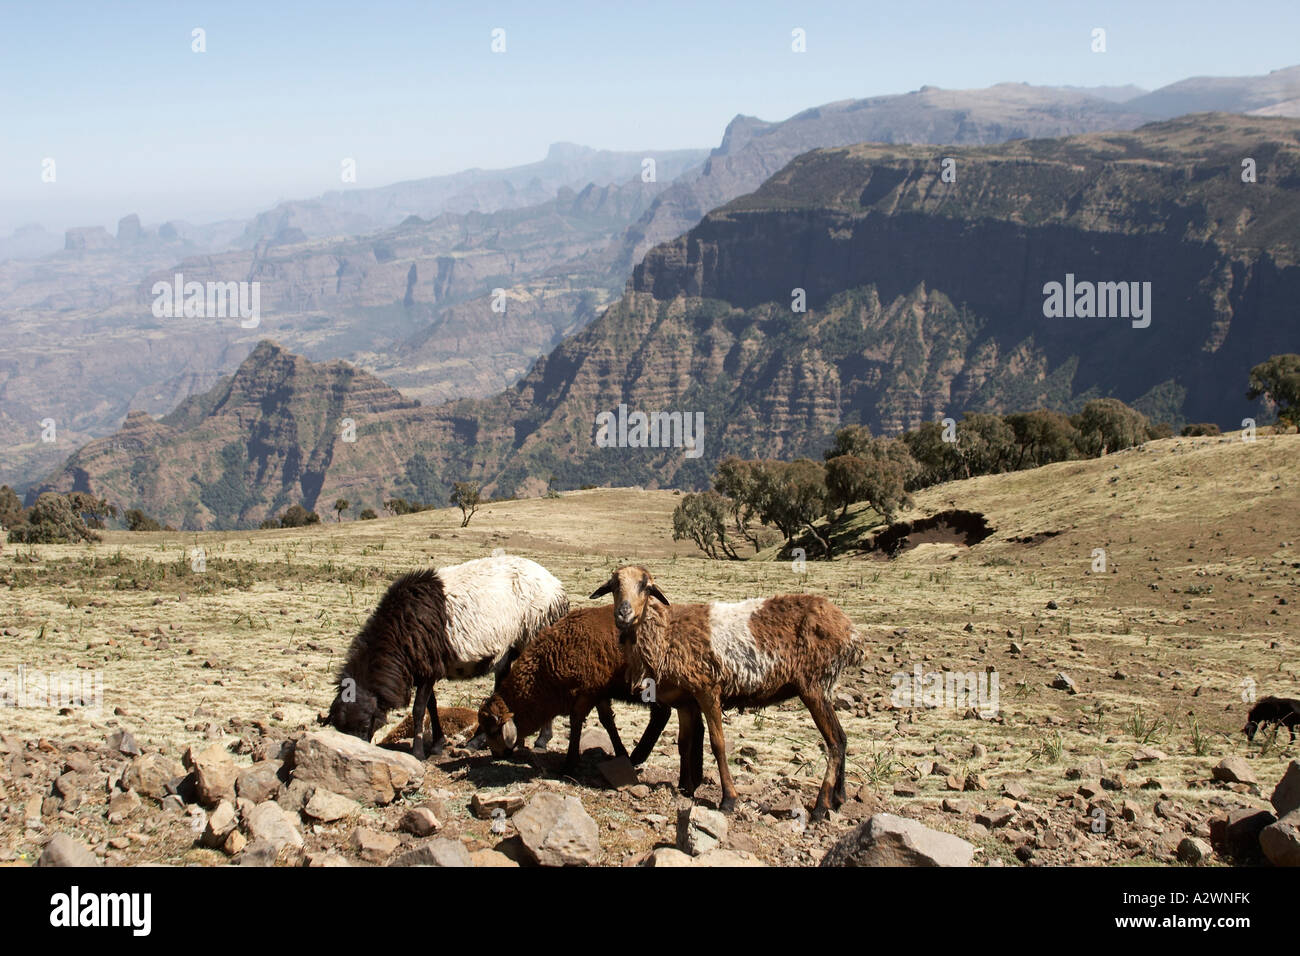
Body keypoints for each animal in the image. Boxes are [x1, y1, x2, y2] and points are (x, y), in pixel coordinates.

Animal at [322, 554, 569, 759]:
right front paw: (437, 745)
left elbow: (418, 709)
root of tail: (557, 587)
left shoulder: (428, 667)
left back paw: (540, 740)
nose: (352, 751)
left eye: (364, 726)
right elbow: (431, 706)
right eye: (340, 729)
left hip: (536, 633)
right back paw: (482, 742)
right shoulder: (426, 669)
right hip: (508, 651)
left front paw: (418, 752)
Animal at [476, 604, 672, 776]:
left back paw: (638, 755)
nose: (496, 754)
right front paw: (621, 753)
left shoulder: (586, 694)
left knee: (661, 715)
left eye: (493, 730)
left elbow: (576, 721)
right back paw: (636, 756)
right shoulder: (598, 693)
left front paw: (569, 765)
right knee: (661, 715)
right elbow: (607, 721)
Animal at [590, 565, 863, 819]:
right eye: (613, 586)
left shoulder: (708, 690)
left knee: (834, 742)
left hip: (813, 685)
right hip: (823, 688)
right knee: (842, 737)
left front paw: (728, 800)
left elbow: (717, 744)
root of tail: (849, 631)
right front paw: (686, 789)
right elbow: (685, 743)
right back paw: (839, 798)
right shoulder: (685, 701)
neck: (667, 633)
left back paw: (821, 806)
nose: (624, 613)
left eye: (646, 586)